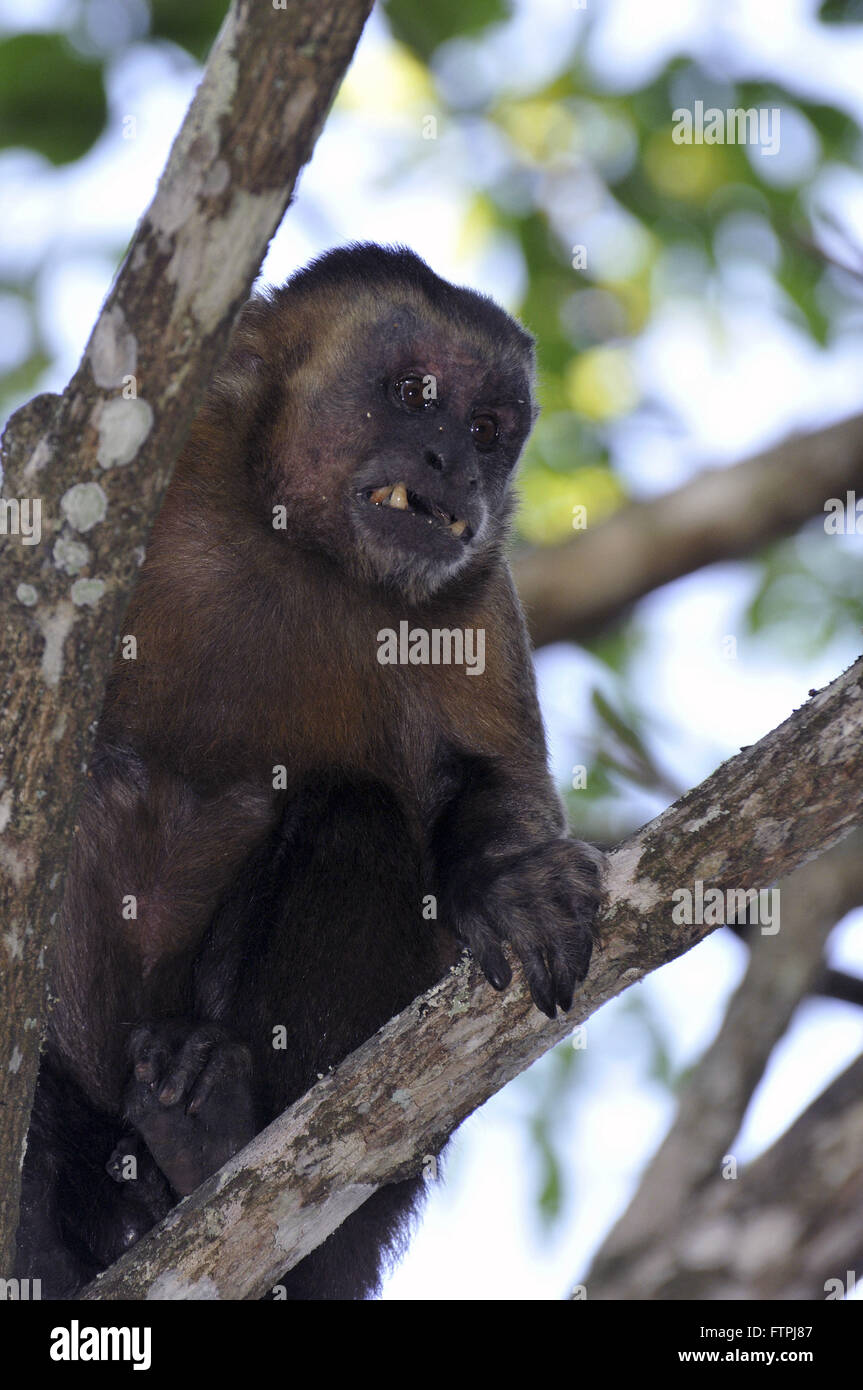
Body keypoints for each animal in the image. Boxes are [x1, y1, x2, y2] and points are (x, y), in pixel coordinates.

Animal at [14, 244, 602, 1300]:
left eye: (487, 429)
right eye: (414, 396)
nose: (455, 464)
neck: (286, 537)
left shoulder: (473, 591)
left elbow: (490, 786)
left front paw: (515, 879)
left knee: (357, 819)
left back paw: (216, 1133)